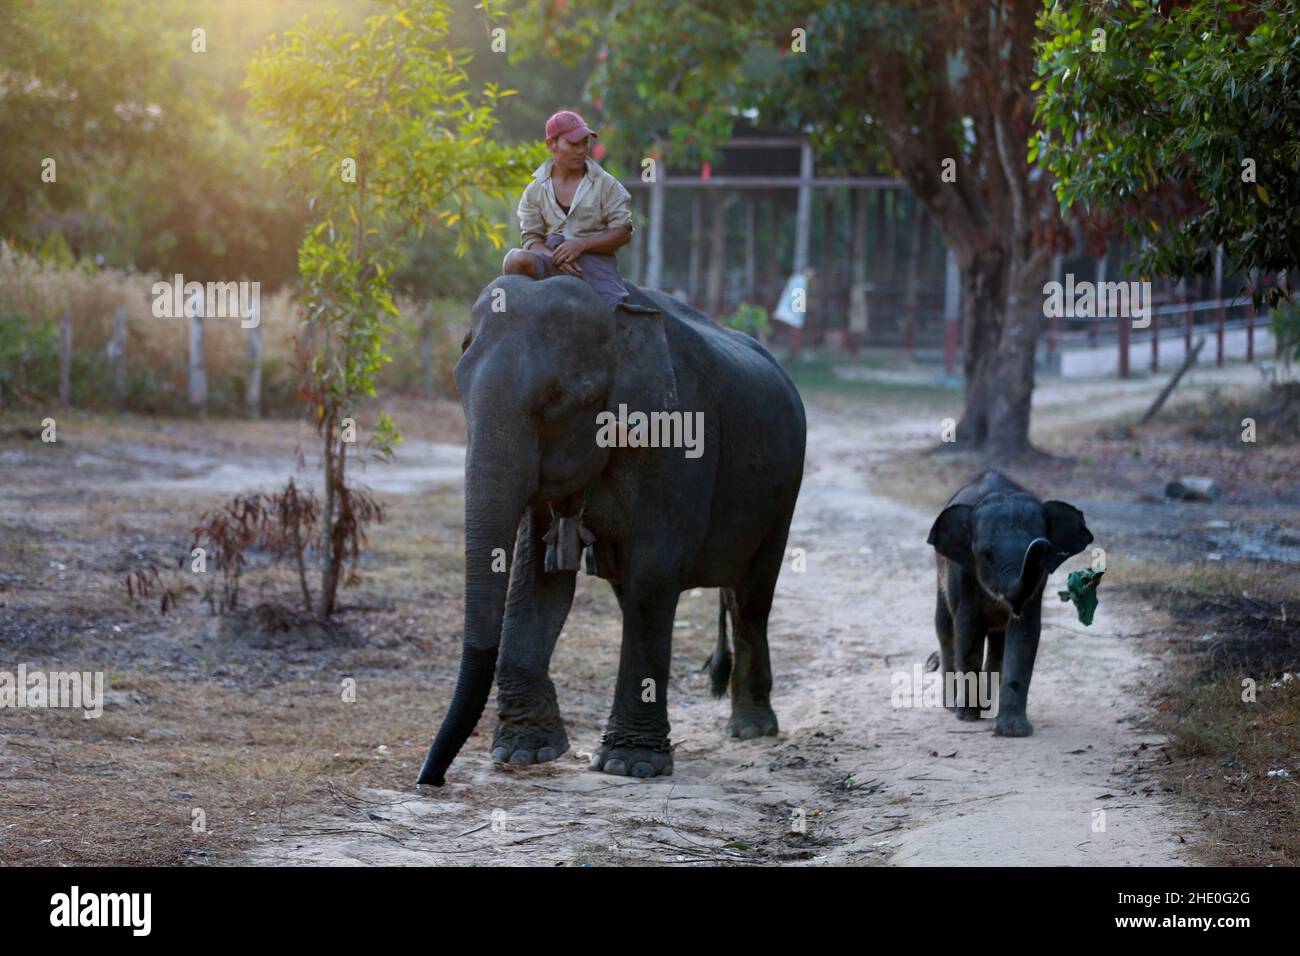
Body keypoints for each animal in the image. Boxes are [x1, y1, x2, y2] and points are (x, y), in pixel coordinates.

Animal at [417, 274, 806, 785]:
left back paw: (751, 729)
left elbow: (654, 572)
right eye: (459, 387)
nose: (432, 778)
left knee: (749, 599)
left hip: (783, 496)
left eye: (560, 400)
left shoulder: (680, 435)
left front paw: (629, 765)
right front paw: (522, 753)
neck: (619, 322)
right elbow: (537, 579)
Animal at [925, 470, 1092, 737]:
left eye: (1046, 554)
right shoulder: (963, 573)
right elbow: (968, 628)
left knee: (998, 643)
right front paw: (967, 717)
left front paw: (1014, 731)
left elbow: (1025, 632)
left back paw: (986, 705)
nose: (1043, 544)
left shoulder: (1036, 583)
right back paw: (953, 706)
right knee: (945, 628)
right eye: (987, 555)